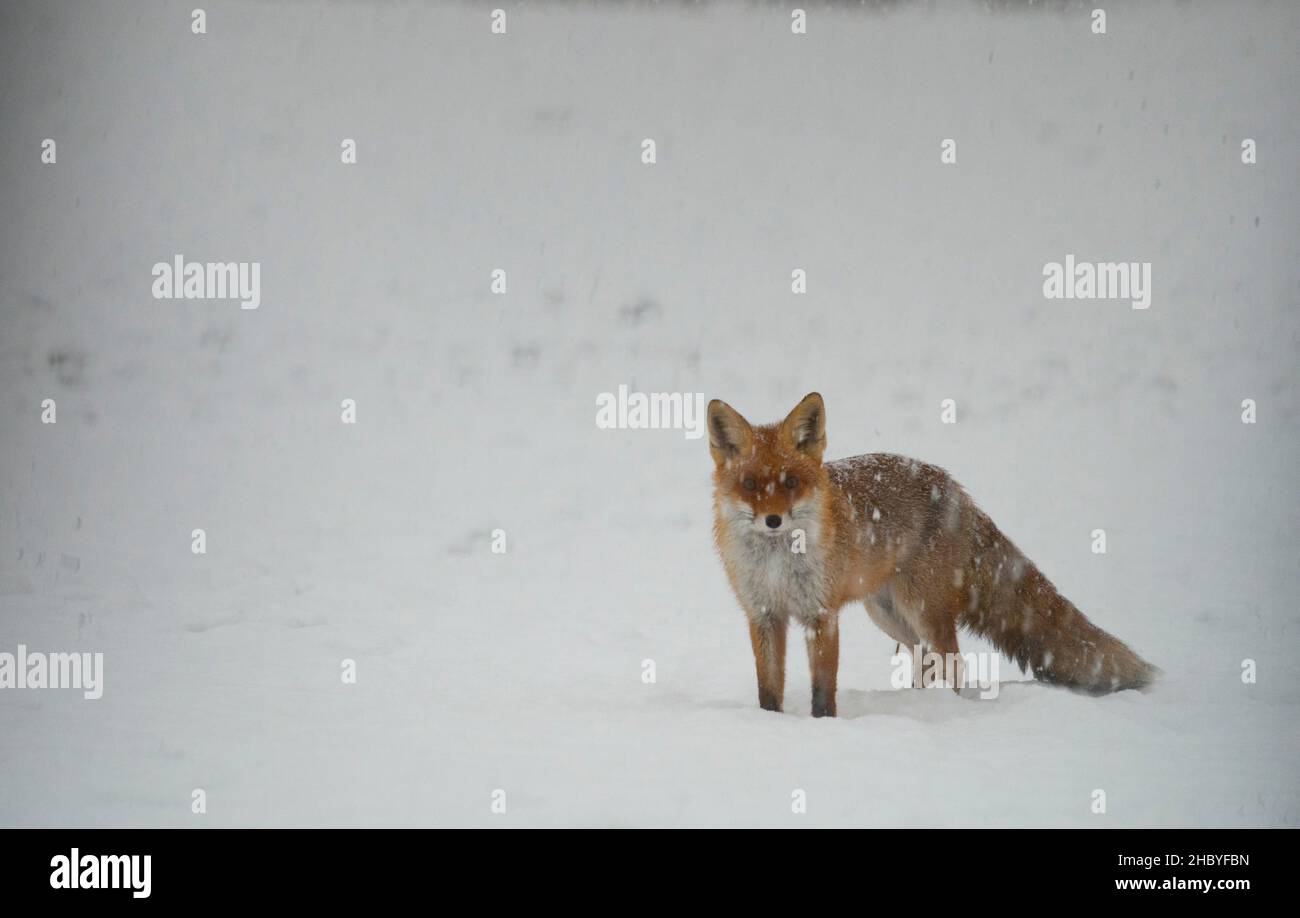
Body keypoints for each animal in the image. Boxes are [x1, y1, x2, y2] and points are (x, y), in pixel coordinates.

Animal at [708, 392, 1157, 717]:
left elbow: (823, 689)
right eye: (750, 484)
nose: (773, 521)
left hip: (923, 610)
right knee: (923, 662)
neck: (776, 565)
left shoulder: (822, 615)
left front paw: (823, 726)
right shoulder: (764, 615)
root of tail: (956, 490)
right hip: (889, 615)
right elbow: (769, 689)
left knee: (955, 666)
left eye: (790, 482)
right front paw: (772, 725)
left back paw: (946, 712)